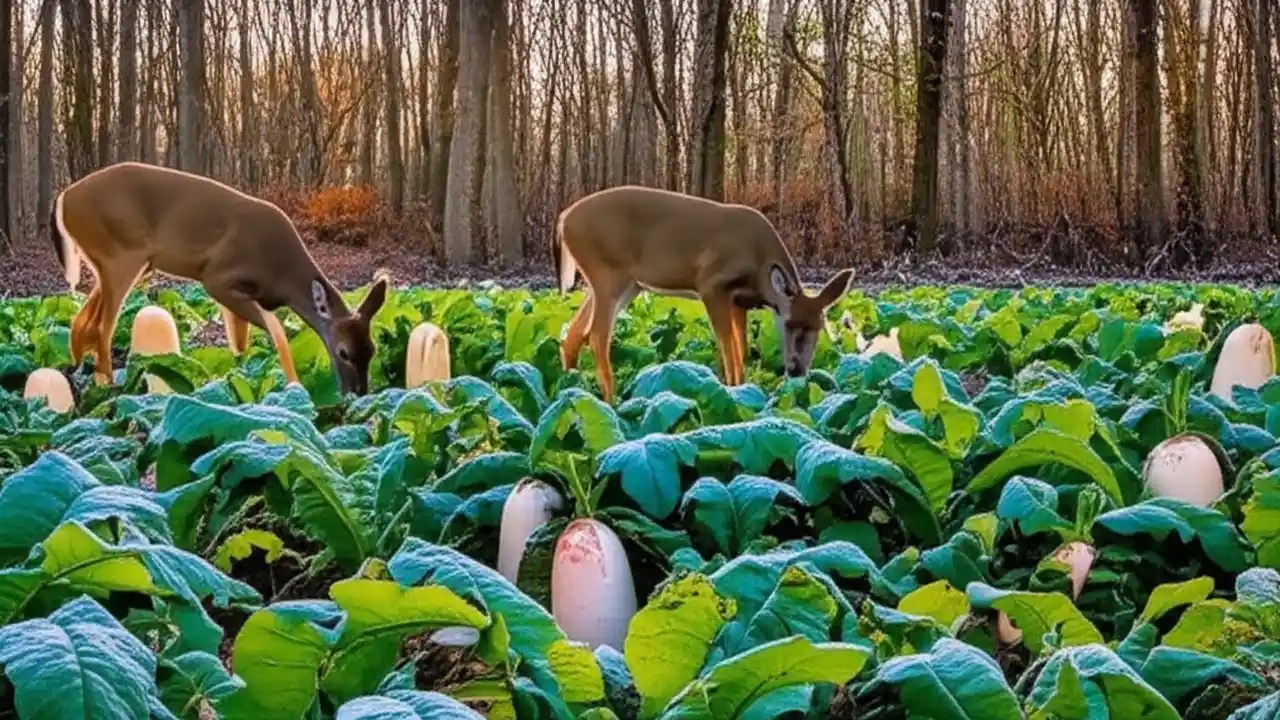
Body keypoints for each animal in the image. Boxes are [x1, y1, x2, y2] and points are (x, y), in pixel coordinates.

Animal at [50, 161, 389, 395]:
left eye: (372, 350)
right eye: (343, 352)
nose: (359, 392)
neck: (281, 275)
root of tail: (64, 197)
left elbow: (239, 343)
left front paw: (240, 377)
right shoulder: (217, 277)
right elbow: (276, 328)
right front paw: (295, 388)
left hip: (126, 263)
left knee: (82, 323)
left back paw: (79, 373)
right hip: (120, 255)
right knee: (102, 328)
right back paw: (107, 385)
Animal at [554, 185, 854, 402]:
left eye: (819, 327)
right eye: (789, 323)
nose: (796, 370)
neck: (758, 266)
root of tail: (563, 219)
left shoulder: (739, 301)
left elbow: (741, 348)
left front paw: (739, 388)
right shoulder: (711, 284)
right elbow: (728, 345)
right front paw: (733, 392)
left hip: (626, 283)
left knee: (574, 333)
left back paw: (570, 388)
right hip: (607, 273)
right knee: (596, 335)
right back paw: (610, 402)